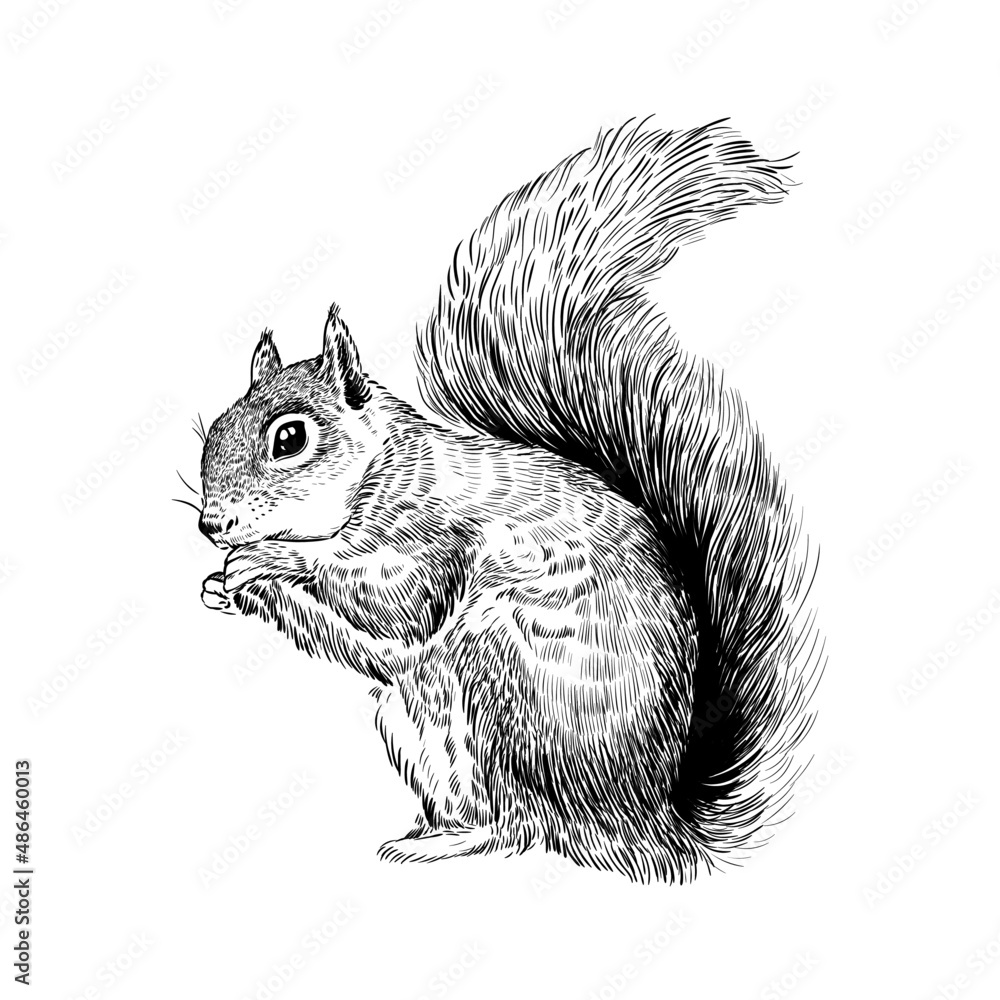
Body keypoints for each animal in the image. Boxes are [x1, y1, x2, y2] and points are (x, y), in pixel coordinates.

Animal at [196, 119, 821, 884]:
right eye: (216, 427)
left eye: (290, 438)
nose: (212, 523)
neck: (382, 473)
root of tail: (650, 822)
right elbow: (363, 646)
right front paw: (223, 584)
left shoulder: (429, 539)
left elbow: (400, 606)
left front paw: (268, 561)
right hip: (413, 723)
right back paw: (433, 833)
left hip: (505, 679)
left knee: (527, 825)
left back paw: (452, 843)